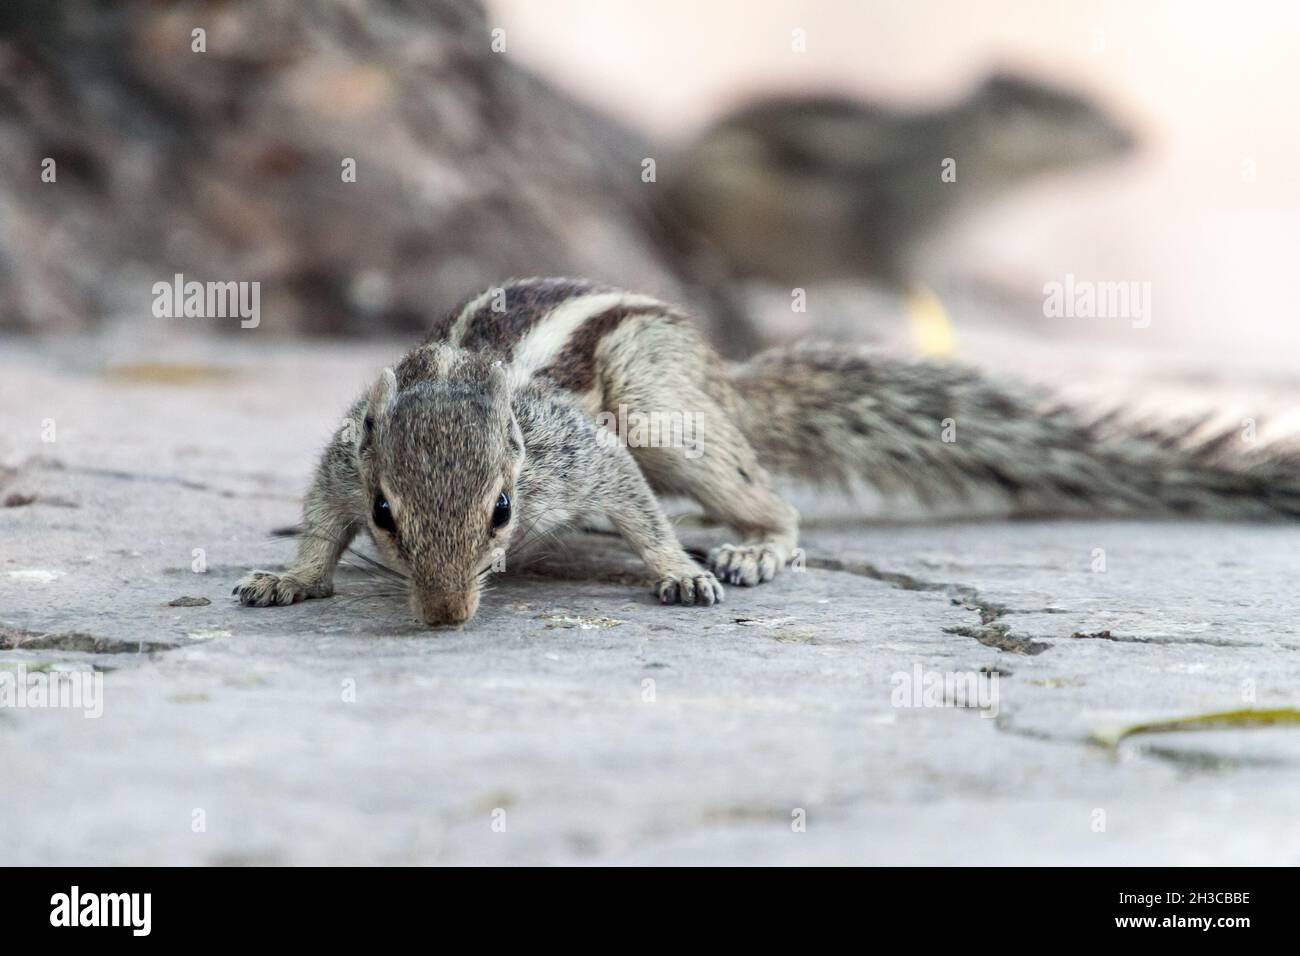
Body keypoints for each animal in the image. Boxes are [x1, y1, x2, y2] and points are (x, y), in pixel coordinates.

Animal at [235, 276, 1298, 627]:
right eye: (387, 515)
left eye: (501, 509)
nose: (447, 616)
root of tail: (728, 379)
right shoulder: (346, 455)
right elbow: (322, 517)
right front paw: (290, 576)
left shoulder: (587, 454)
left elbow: (635, 506)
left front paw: (679, 572)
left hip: (669, 408)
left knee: (764, 498)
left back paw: (750, 546)